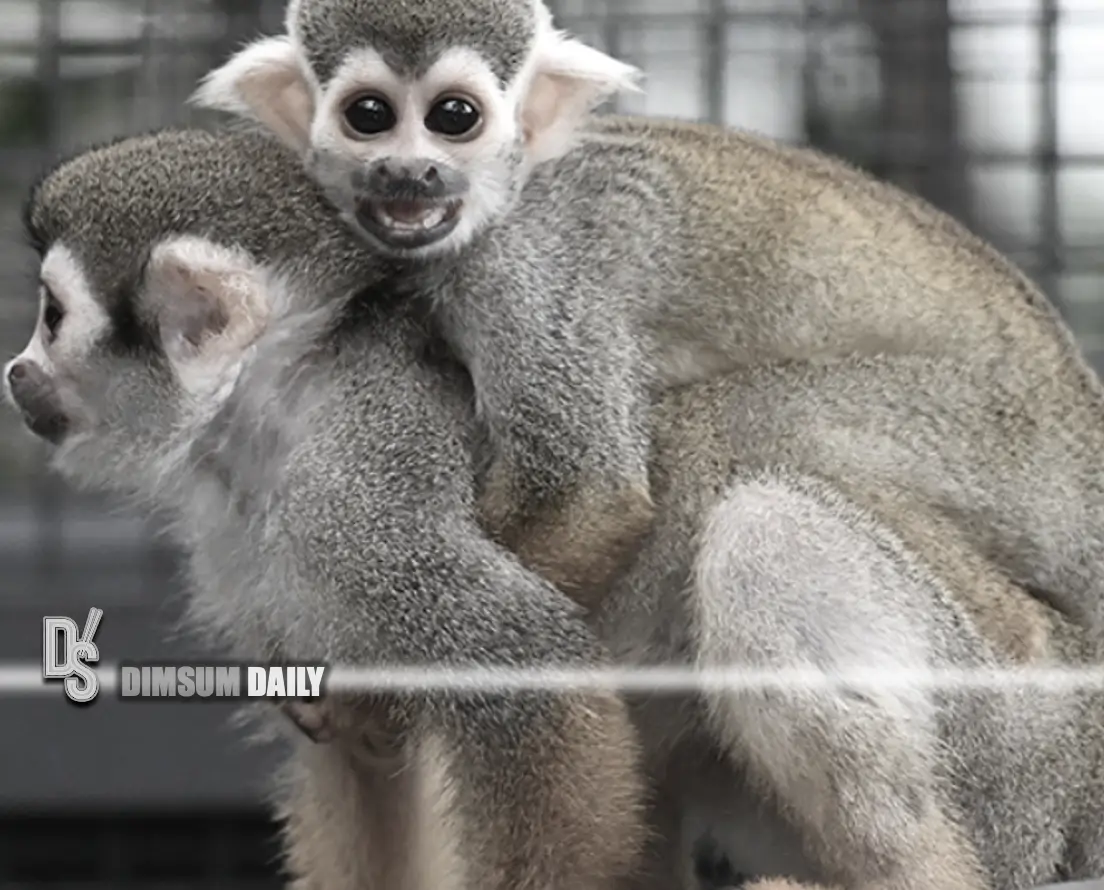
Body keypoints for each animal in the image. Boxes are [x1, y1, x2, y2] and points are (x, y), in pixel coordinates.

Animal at [7, 128, 1103, 890]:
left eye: (52, 317)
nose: (19, 374)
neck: (270, 405)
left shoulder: (364, 493)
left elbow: (527, 666)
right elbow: (361, 750)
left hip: (1010, 740)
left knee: (760, 529)